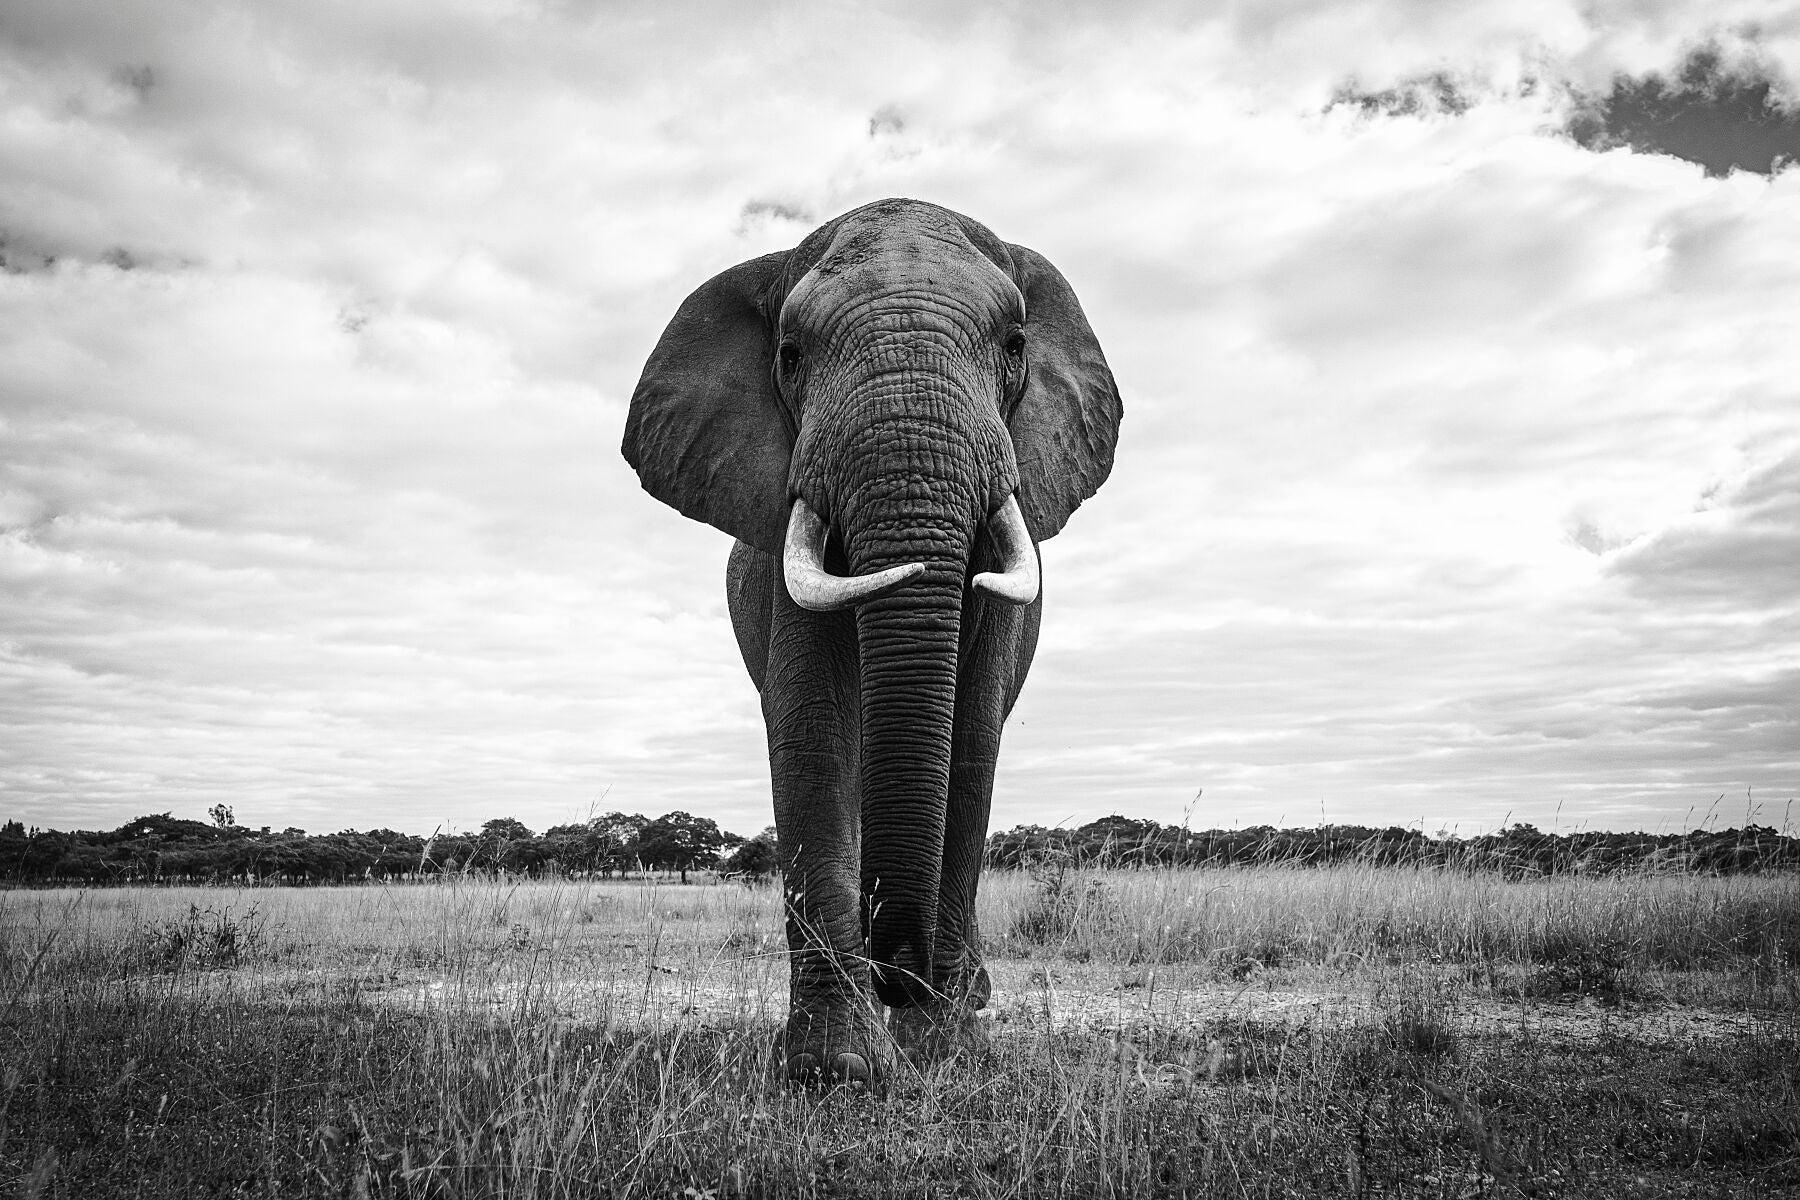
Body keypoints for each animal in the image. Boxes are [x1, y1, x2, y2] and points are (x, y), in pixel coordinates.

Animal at [621, 198, 1121, 1084]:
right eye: (790, 355)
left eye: (1014, 346)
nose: (900, 977)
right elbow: (812, 726)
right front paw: (840, 1069)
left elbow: (971, 737)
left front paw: (943, 1047)